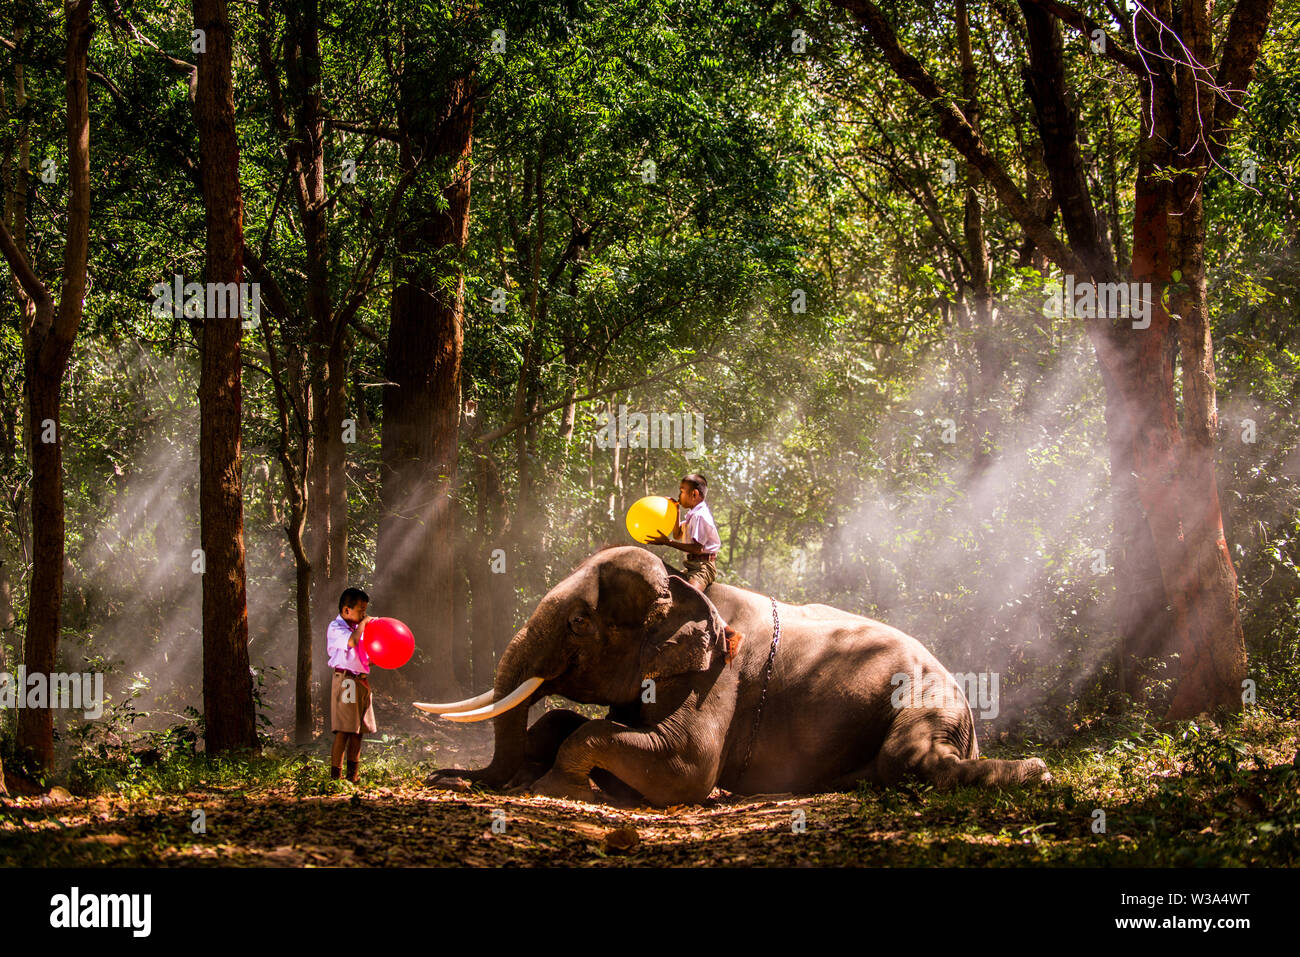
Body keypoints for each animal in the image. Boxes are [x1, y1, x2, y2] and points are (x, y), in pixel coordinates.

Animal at [415, 545, 1048, 806]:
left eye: (578, 623)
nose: (444, 777)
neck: (686, 586)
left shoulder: (719, 674)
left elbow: (688, 766)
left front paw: (554, 789)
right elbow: (573, 722)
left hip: (924, 698)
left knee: (910, 760)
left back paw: (1034, 772)